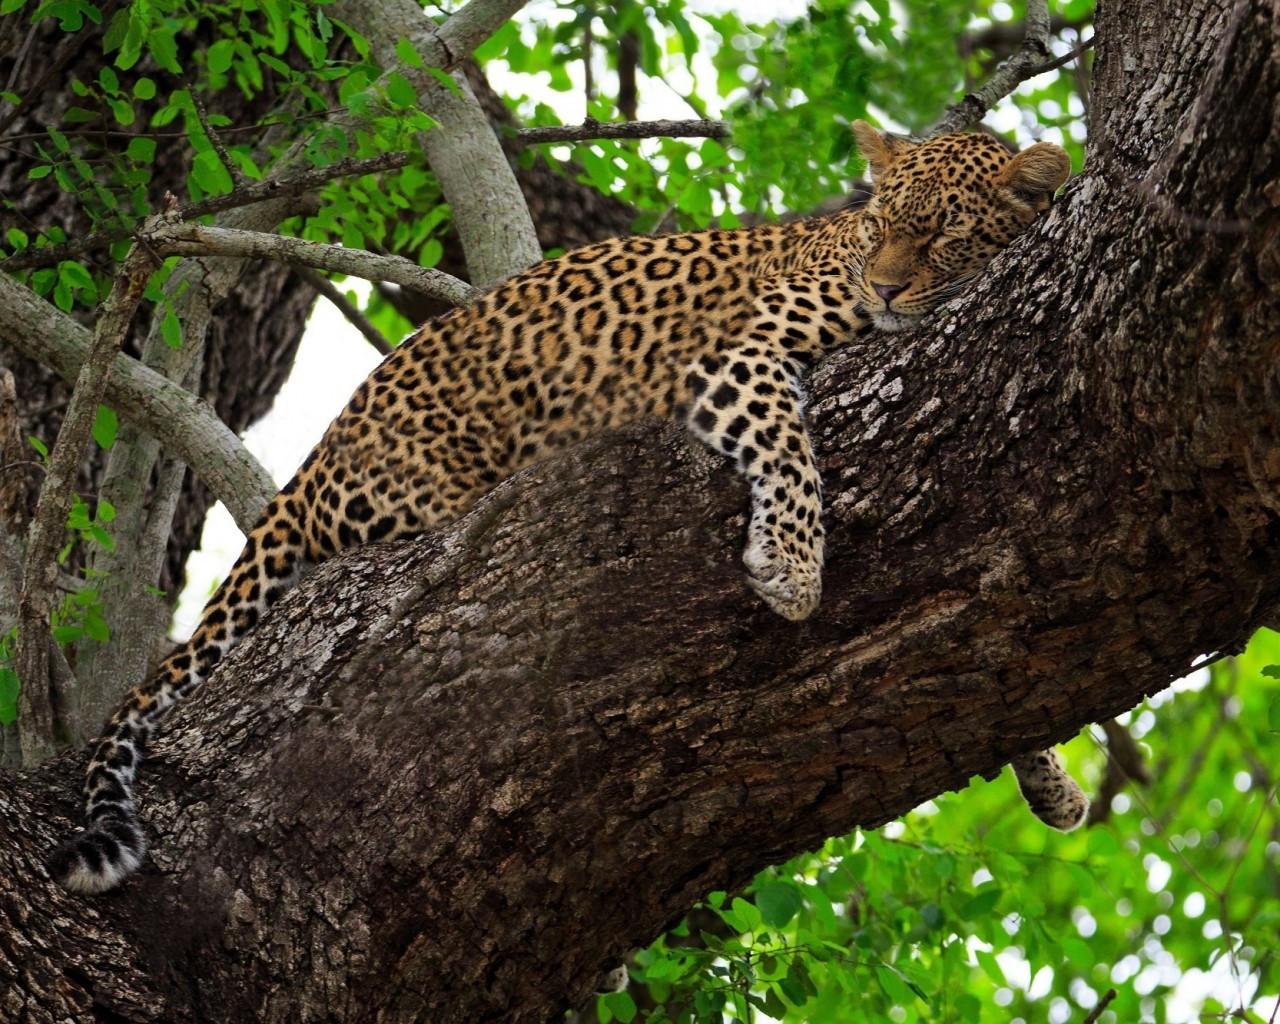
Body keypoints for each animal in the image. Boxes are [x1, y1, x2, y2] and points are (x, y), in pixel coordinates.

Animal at [50, 120, 1087, 894]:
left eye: (943, 234)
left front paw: (1051, 780)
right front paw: (793, 570)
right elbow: (789, 453)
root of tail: (323, 453)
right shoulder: (730, 357)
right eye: (881, 230)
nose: (887, 285)